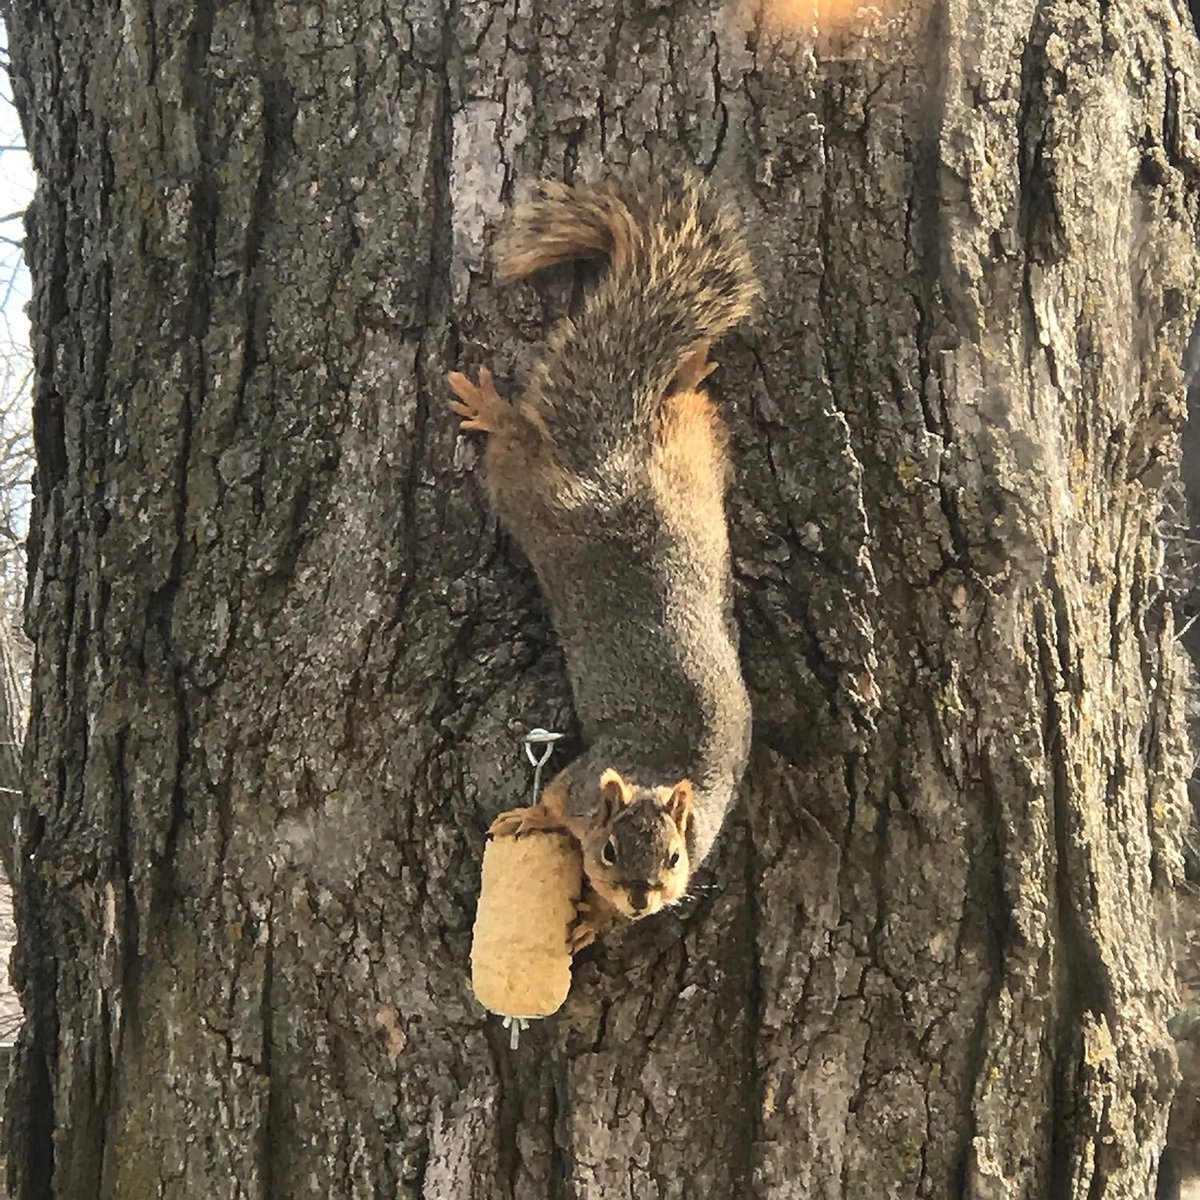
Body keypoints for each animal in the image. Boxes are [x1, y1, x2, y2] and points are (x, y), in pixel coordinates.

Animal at [448, 174, 759, 949]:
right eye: (612, 848)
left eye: (676, 858)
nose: (642, 900)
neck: (652, 772)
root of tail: (617, 472)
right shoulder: (581, 783)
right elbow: (553, 802)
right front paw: (528, 818)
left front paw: (595, 921)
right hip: (538, 501)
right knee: (515, 450)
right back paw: (491, 406)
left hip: (689, 457)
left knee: (677, 404)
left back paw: (686, 366)